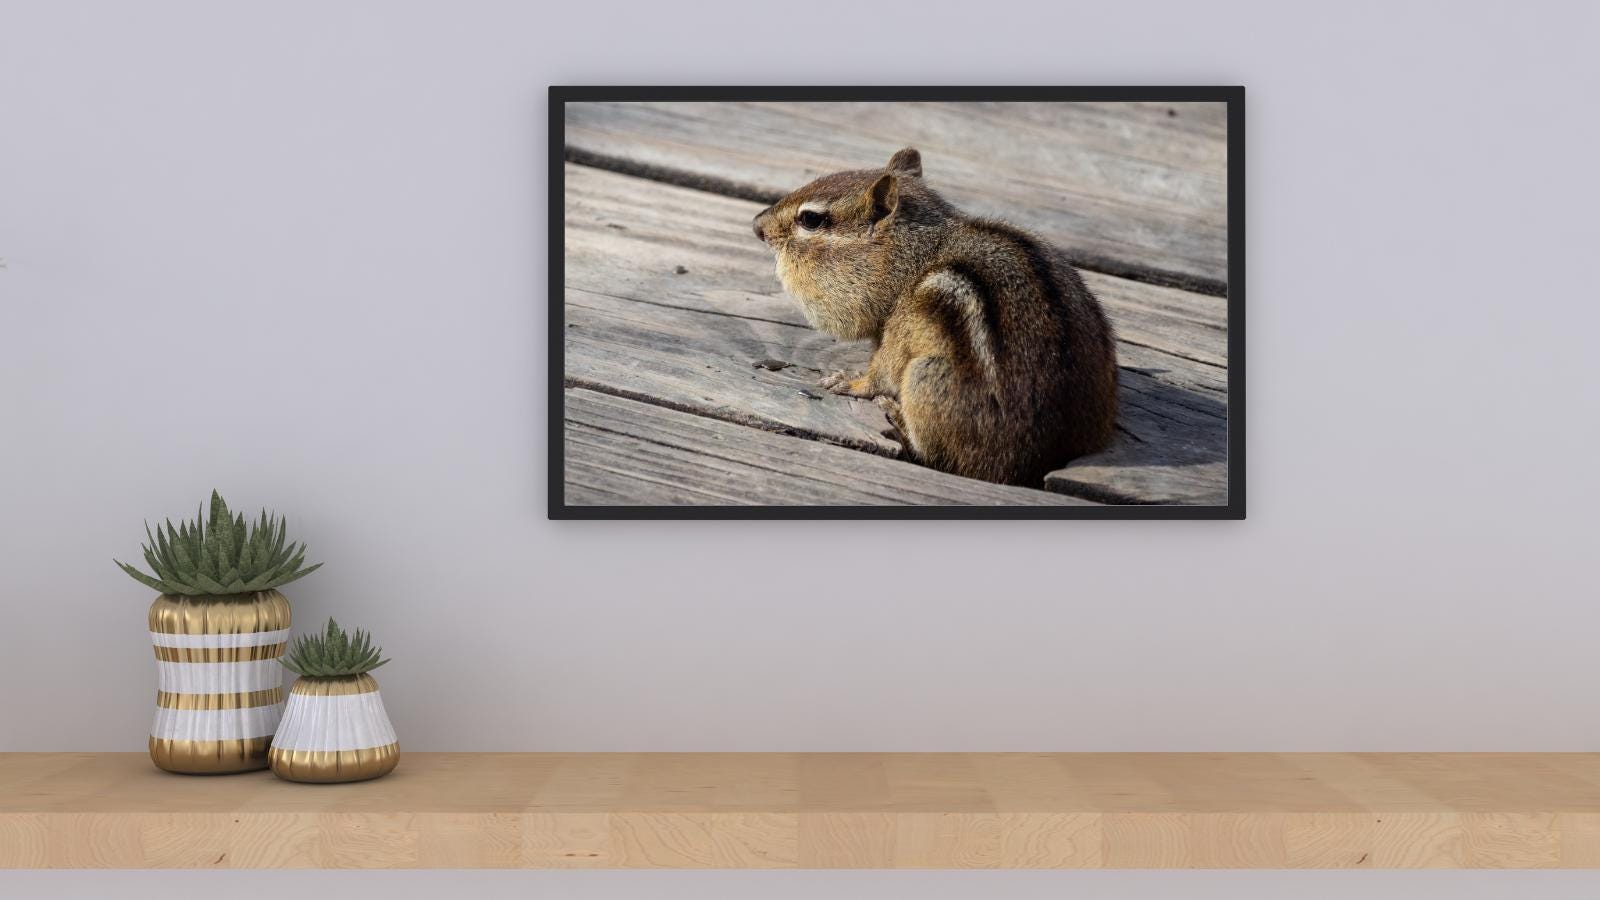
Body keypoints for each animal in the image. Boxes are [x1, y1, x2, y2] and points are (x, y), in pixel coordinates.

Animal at [751, 148, 1119, 486]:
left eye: (811, 219)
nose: (757, 226)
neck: (916, 259)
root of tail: (1037, 461)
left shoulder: (903, 324)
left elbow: (884, 369)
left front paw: (851, 382)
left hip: (926, 380)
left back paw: (897, 416)